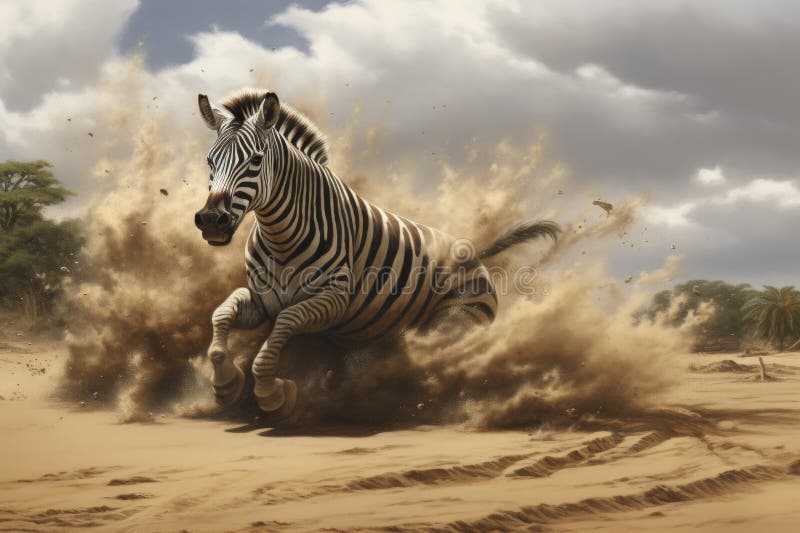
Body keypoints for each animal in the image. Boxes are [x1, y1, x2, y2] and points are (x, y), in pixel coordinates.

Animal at [194, 88, 559, 419]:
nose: (211, 221)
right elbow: (221, 314)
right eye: (209, 161)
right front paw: (225, 385)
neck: (281, 237)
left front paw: (273, 394)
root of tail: (474, 254)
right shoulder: (262, 300)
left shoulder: (334, 300)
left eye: (255, 160)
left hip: (458, 321)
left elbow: (285, 322)